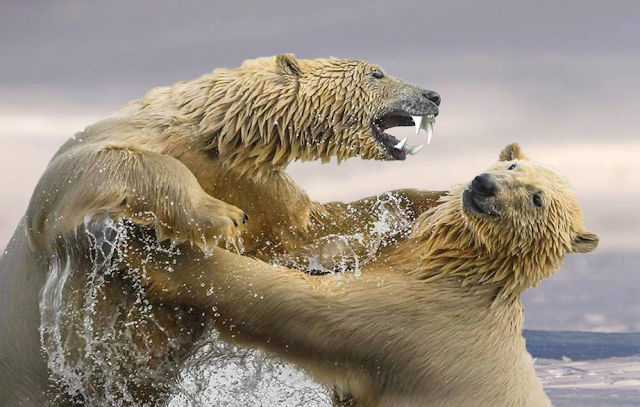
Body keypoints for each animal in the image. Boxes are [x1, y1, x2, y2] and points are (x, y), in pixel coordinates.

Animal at [0, 54, 442, 406]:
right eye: (377, 73)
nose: (434, 96)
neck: (218, 132)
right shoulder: (113, 151)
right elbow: (86, 169)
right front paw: (219, 216)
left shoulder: (250, 181)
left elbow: (301, 228)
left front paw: (426, 201)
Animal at [134, 144, 598, 406]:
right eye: (513, 165)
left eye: (537, 199)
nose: (483, 185)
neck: (463, 269)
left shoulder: (417, 322)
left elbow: (303, 306)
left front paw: (152, 249)